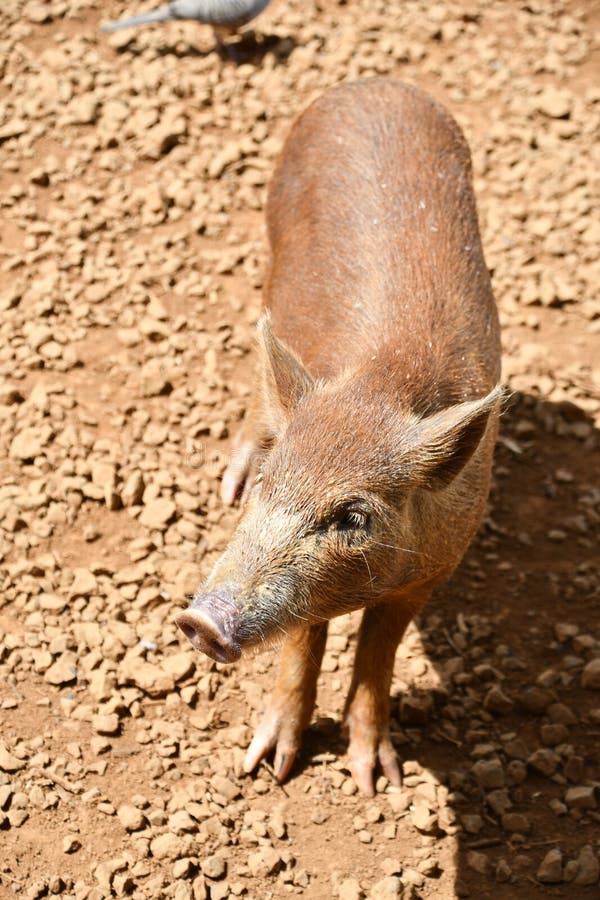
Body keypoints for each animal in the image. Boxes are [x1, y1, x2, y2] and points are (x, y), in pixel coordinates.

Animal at [175, 78, 502, 796]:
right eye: (271, 485)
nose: (199, 621)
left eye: (353, 516)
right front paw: (267, 767)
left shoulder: (435, 567)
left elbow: (381, 650)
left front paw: (377, 779)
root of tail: (375, 84)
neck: (376, 389)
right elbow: (304, 641)